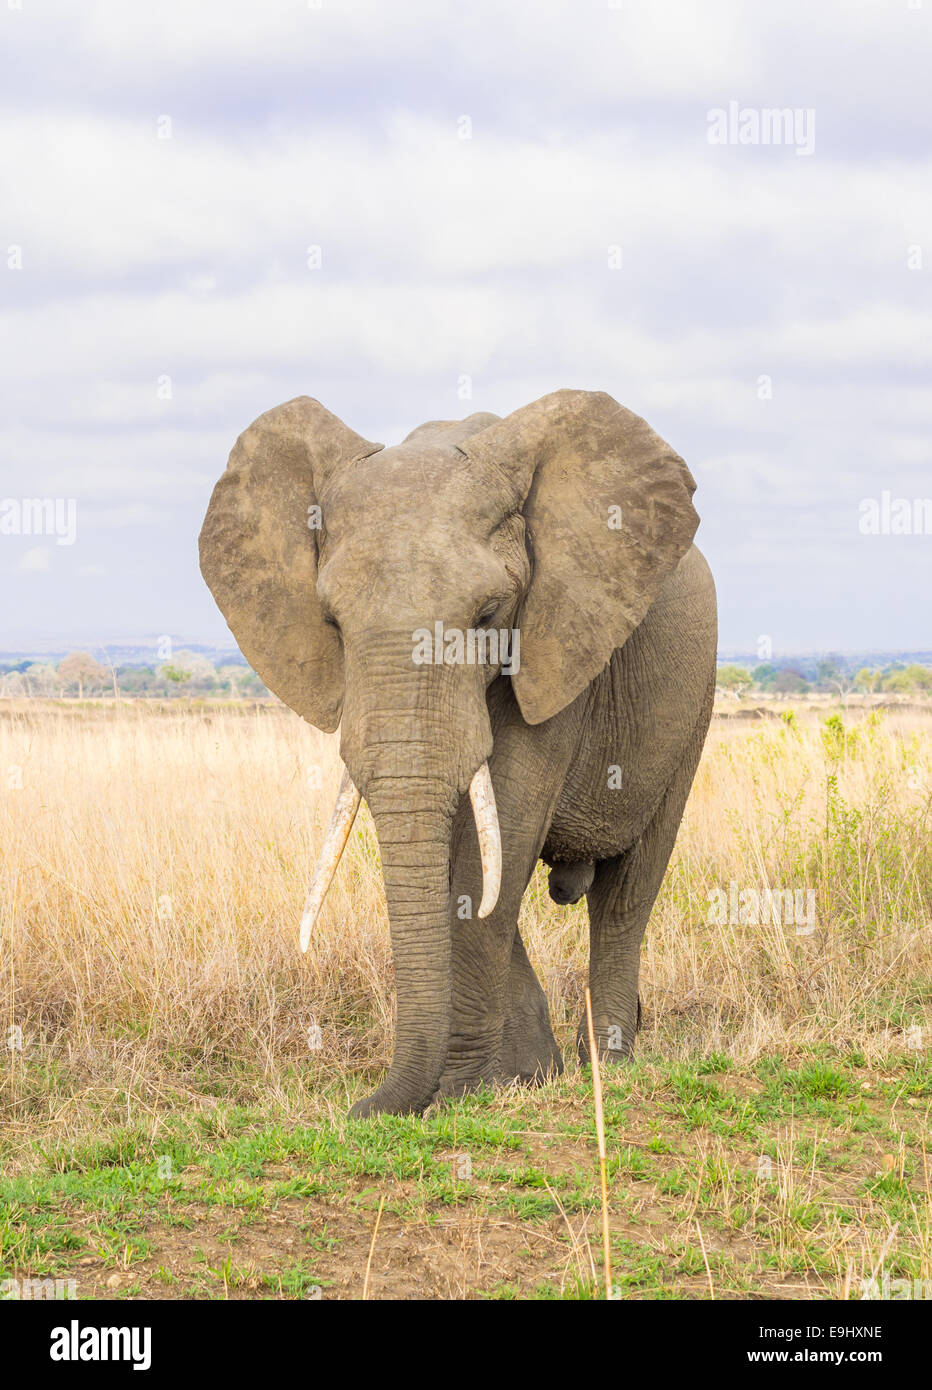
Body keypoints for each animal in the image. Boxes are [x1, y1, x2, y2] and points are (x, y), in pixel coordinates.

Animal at [199, 389, 717, 1118]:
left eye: (488, 615)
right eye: (333, 623)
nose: (358, 1112)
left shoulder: (558, 635)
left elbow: (504, 828)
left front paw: (465, 1090)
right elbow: (467, 855)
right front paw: (517, 1079)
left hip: (692, 703)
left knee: (626, 891)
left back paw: (610, 1063)